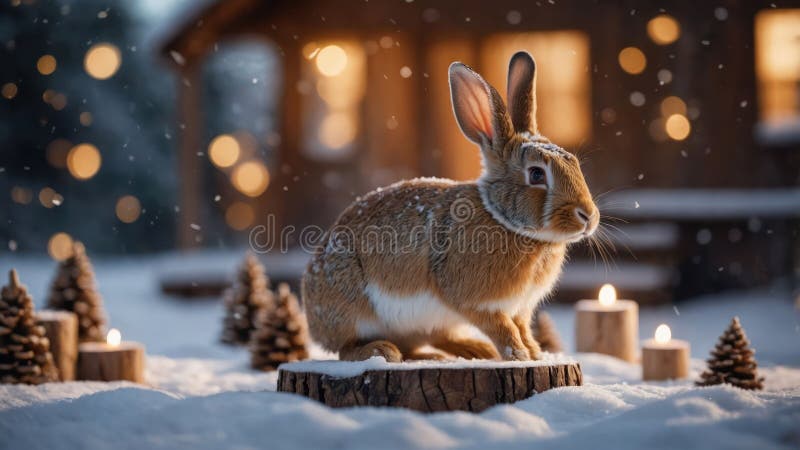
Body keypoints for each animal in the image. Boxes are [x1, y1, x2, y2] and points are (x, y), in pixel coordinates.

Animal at [301, 51, 599, 362]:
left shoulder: (521, 309)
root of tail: (312, 318)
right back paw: (383, 351)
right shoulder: (480, 304)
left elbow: (522, 328)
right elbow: (503, 329)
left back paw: (468, 350)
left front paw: (535, 355)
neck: (503, 219)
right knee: (346, 349)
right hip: (354, 309)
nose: (588, 216)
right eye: (537, 175)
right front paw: (518, 356)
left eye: (574, 164)